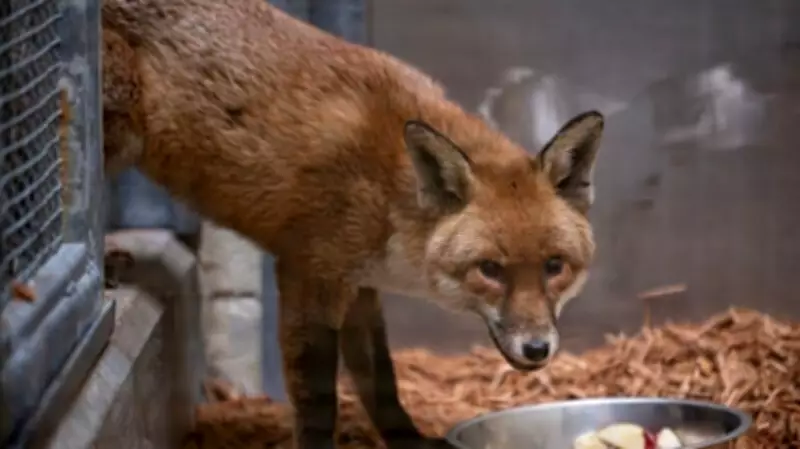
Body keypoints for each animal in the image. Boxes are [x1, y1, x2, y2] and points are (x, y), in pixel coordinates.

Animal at [100, 0, 604, 448]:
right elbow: (318, 400)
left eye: (554, 266)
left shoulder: (362, 287)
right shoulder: (308, 275)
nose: (537, 349)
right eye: (490, 270)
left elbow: (380, 381)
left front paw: (409, 441)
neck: (387, 193)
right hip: (120, 131)